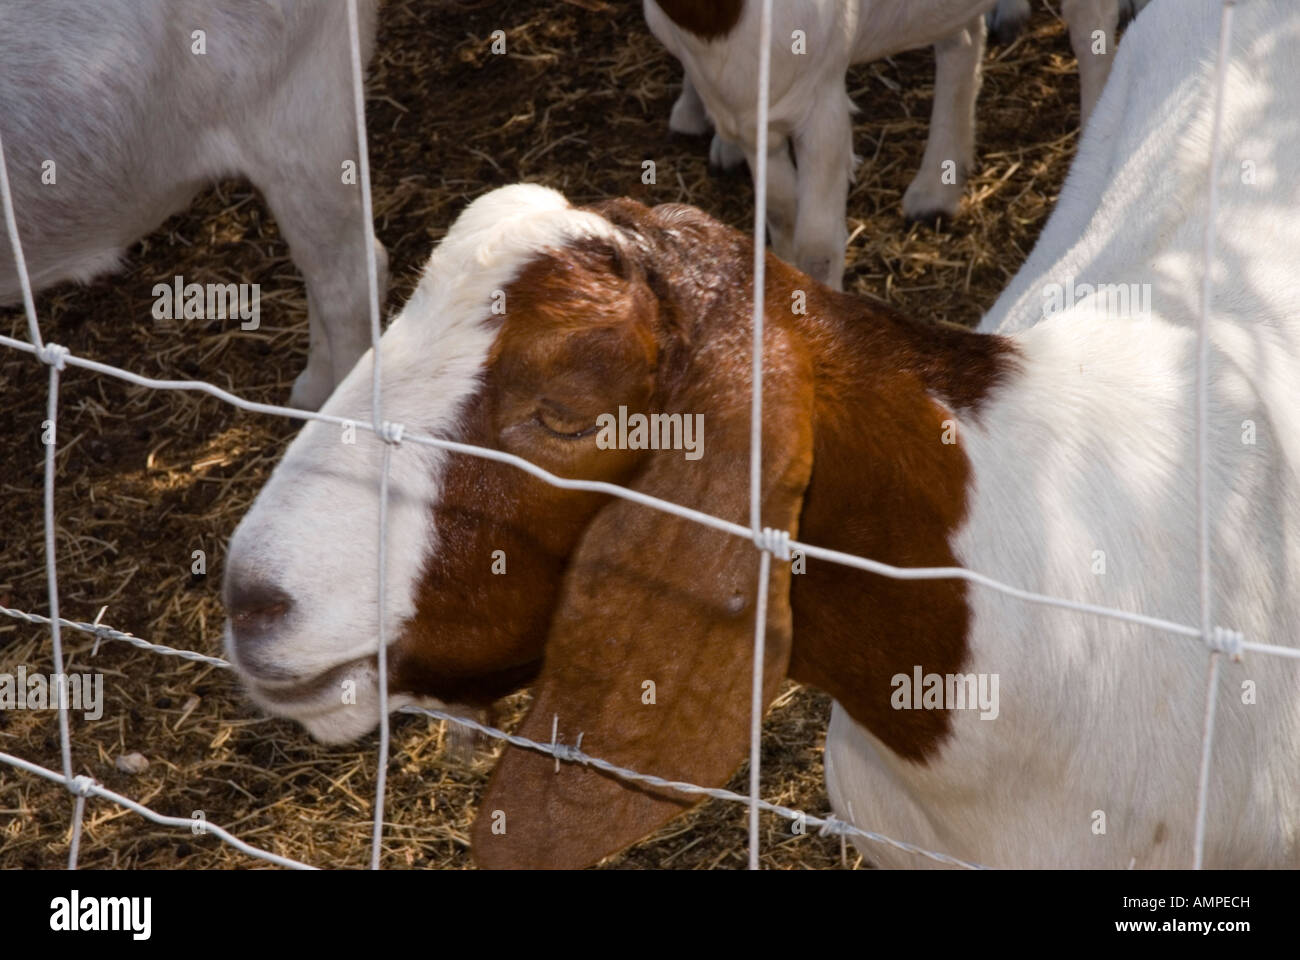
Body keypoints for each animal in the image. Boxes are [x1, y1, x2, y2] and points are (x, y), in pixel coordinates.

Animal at [645, 0, 1151, 290]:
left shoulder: (822, 109)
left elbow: (817, 247)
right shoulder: (750, 114)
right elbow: (780, 219)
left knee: (1091, 35)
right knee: (961, 40)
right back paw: (937, 186)